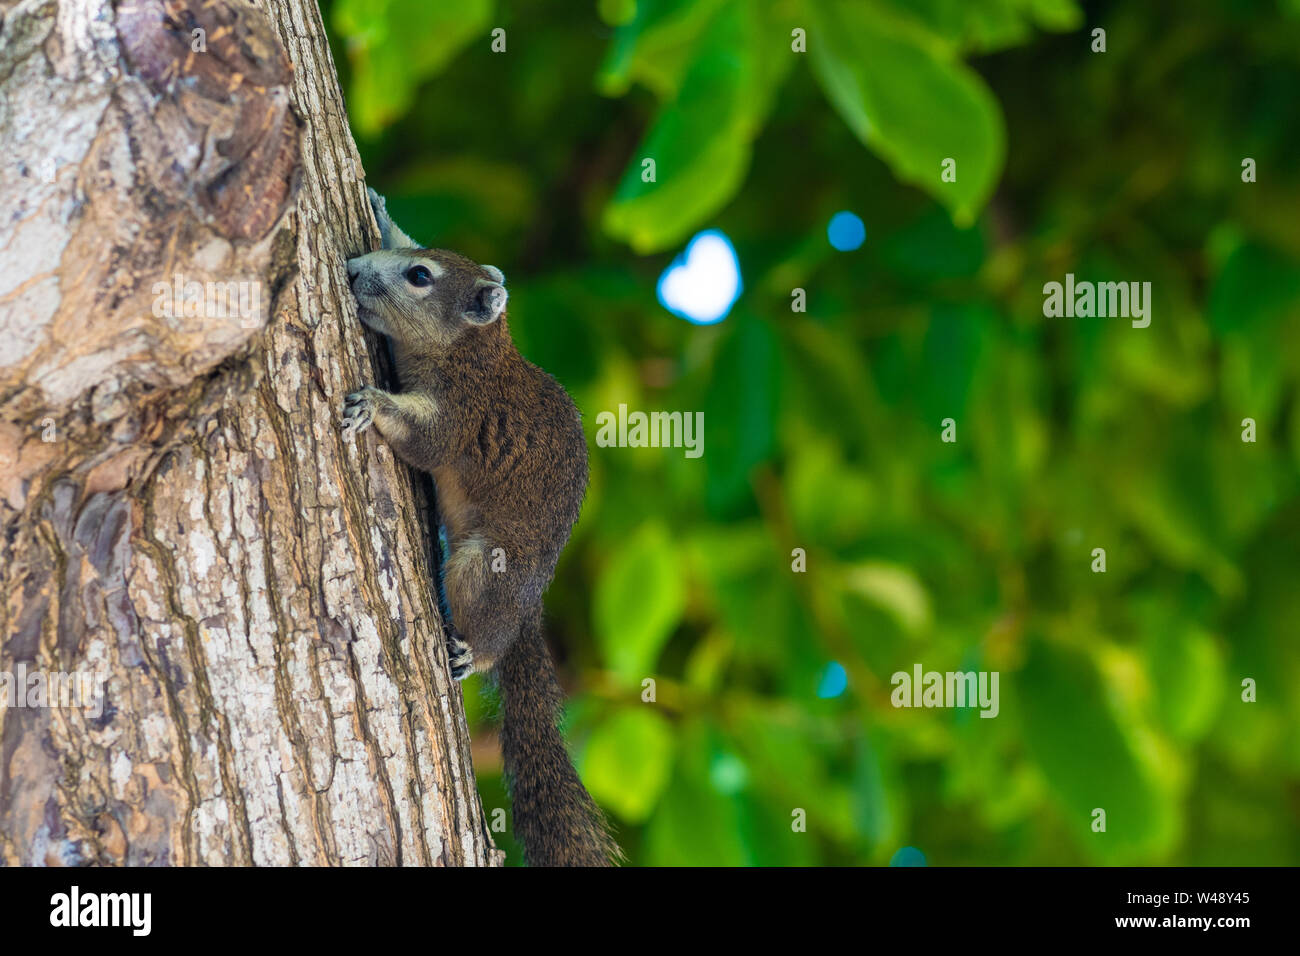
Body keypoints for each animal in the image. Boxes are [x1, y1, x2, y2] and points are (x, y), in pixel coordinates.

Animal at [342, 188, 619, 867]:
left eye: (420, 277)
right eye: (420, 256)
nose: (355, 270)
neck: (474, 349)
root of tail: (529, 607)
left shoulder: (460, 412)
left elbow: (424, 440)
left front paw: (374, 406)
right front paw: (382, 210)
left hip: (483, 566)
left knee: (489, 628)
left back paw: (473, 651)